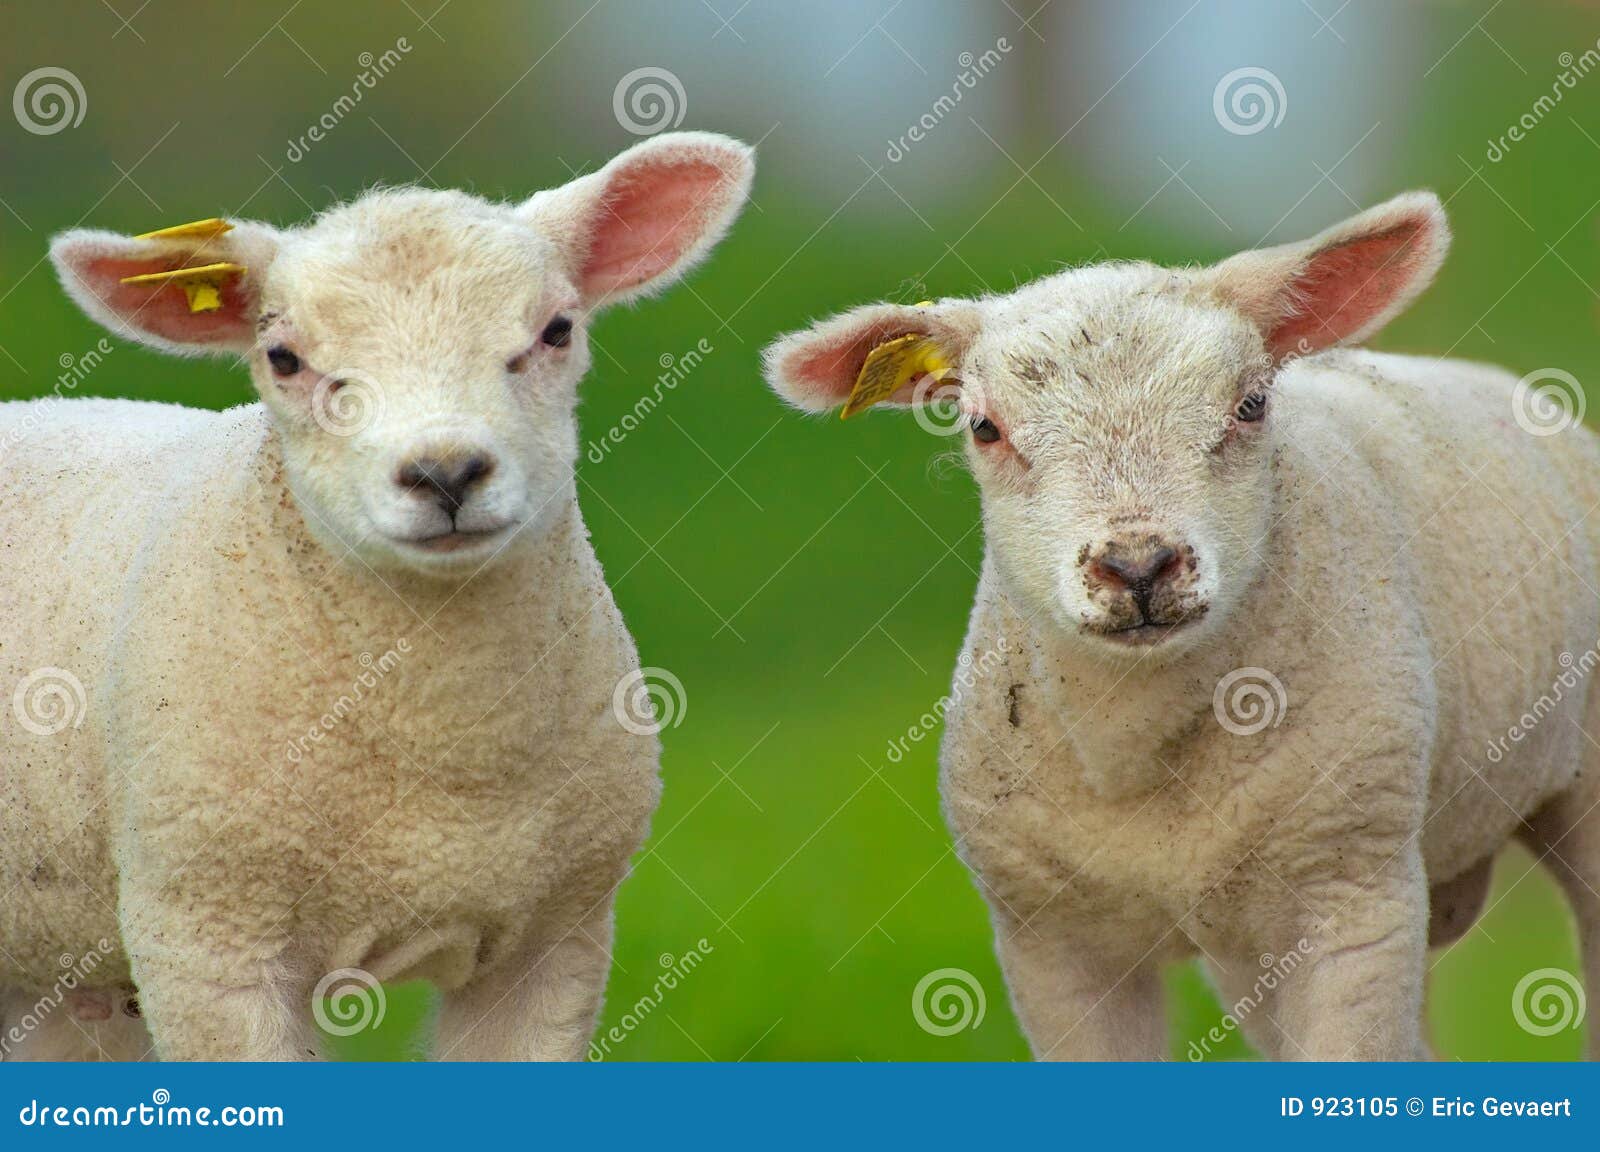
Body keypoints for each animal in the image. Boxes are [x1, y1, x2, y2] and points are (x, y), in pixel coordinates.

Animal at [0, 131, 754, 1061]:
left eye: (556, 330)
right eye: (284, 359)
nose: (445, 472)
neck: (440, 749)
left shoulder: (554, 941)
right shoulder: (206, 936)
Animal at [763, 191, 1600, 1061]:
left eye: (1252, 404)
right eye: (983, 428)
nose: (1137, 566)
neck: (1137, 751)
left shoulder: (1350, 896)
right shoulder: (1051, 943)